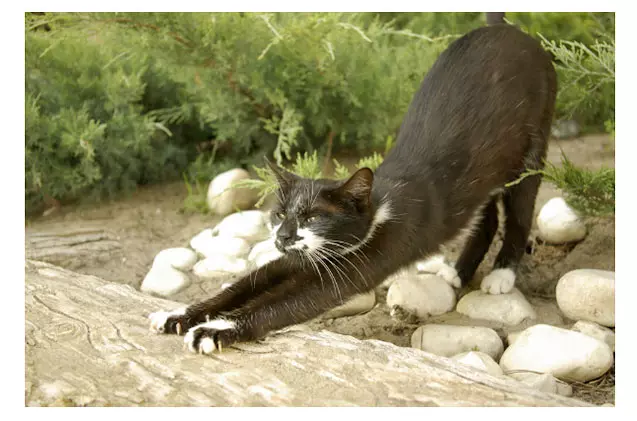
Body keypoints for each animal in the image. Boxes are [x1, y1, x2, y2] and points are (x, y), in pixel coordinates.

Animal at [149, 21, 556, 352]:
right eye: (279, 215)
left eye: (313, 218)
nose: (283, 236)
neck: (377, 213)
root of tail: (505, 28)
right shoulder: (290, 261)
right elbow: (241, 286)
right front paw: (179, 314)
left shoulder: (356, 266)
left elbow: (277, 306)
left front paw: (215, 331)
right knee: (484, 213)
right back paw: (456, 272)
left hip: (532, 149)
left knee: (519, 213)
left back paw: (501, 274)